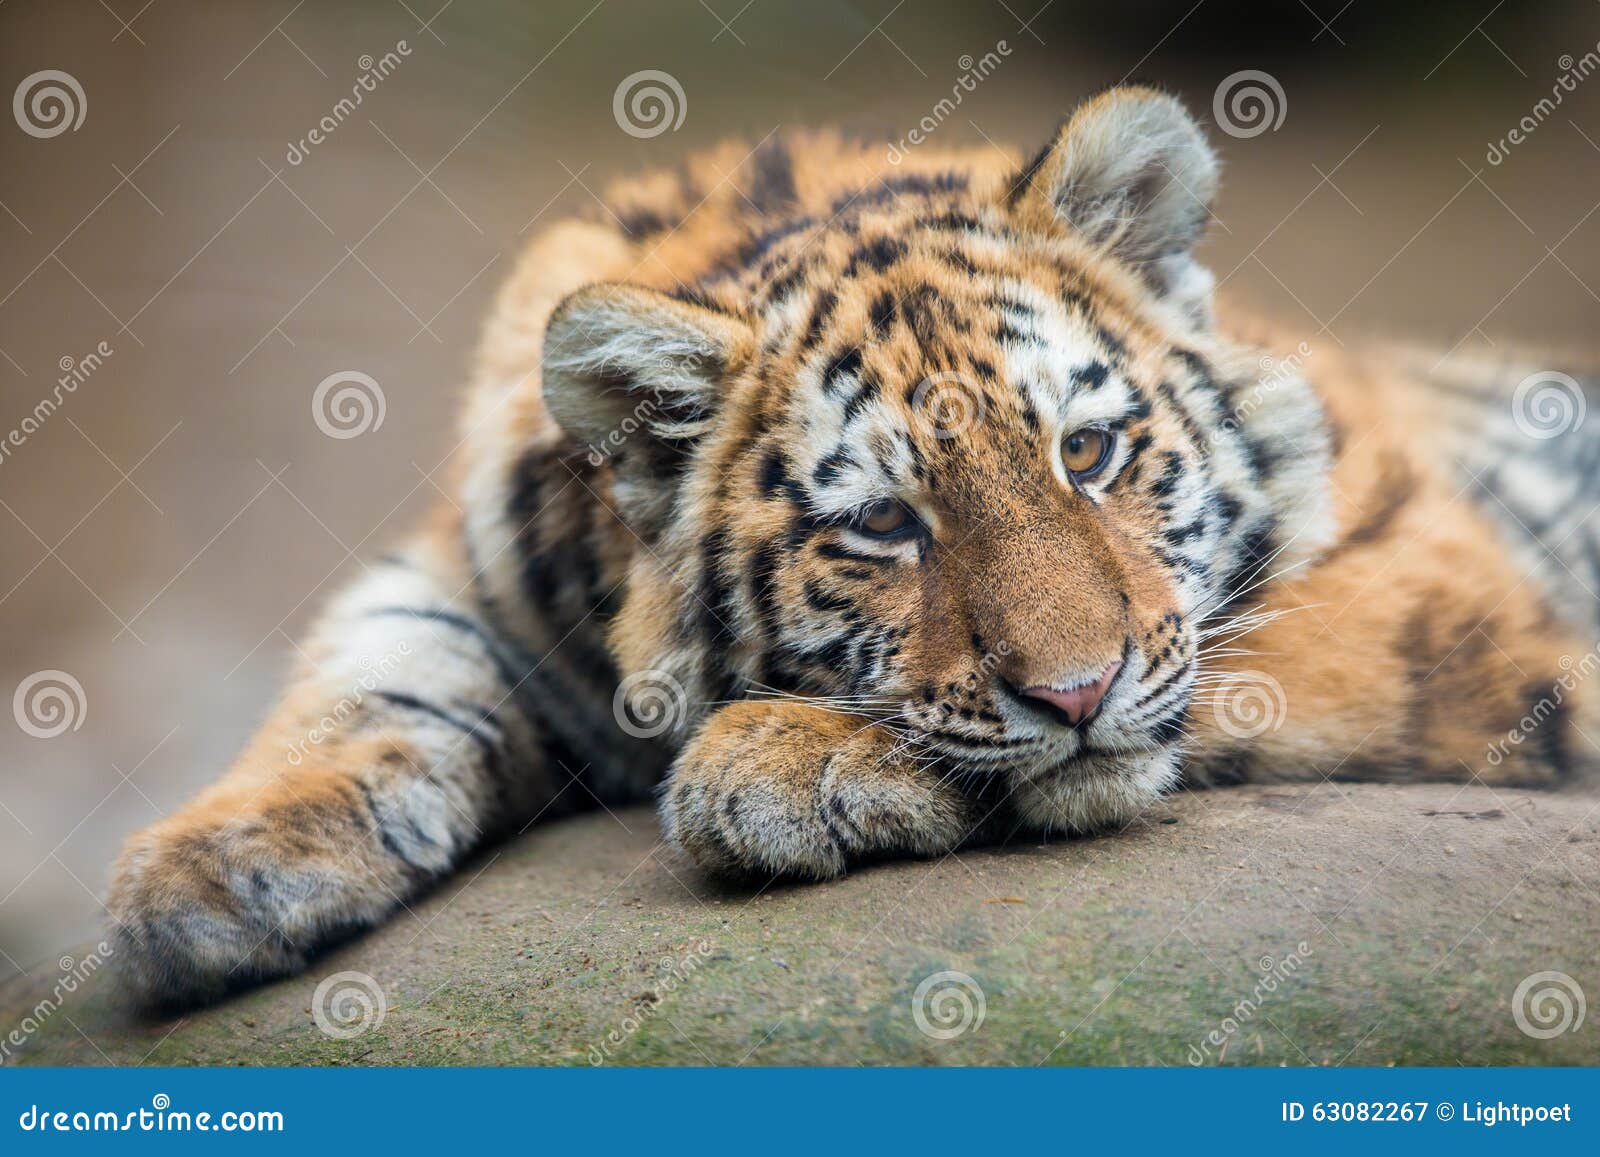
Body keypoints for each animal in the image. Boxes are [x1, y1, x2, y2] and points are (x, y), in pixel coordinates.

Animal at [106, 86, 1600, 1009]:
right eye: (884, 524)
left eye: (1087, 452)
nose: (1078, 693)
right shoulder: (469, 573)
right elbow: (376, 669)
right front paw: (209, 871)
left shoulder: (1436, 576)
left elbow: (1237, 661)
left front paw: (784, 760)